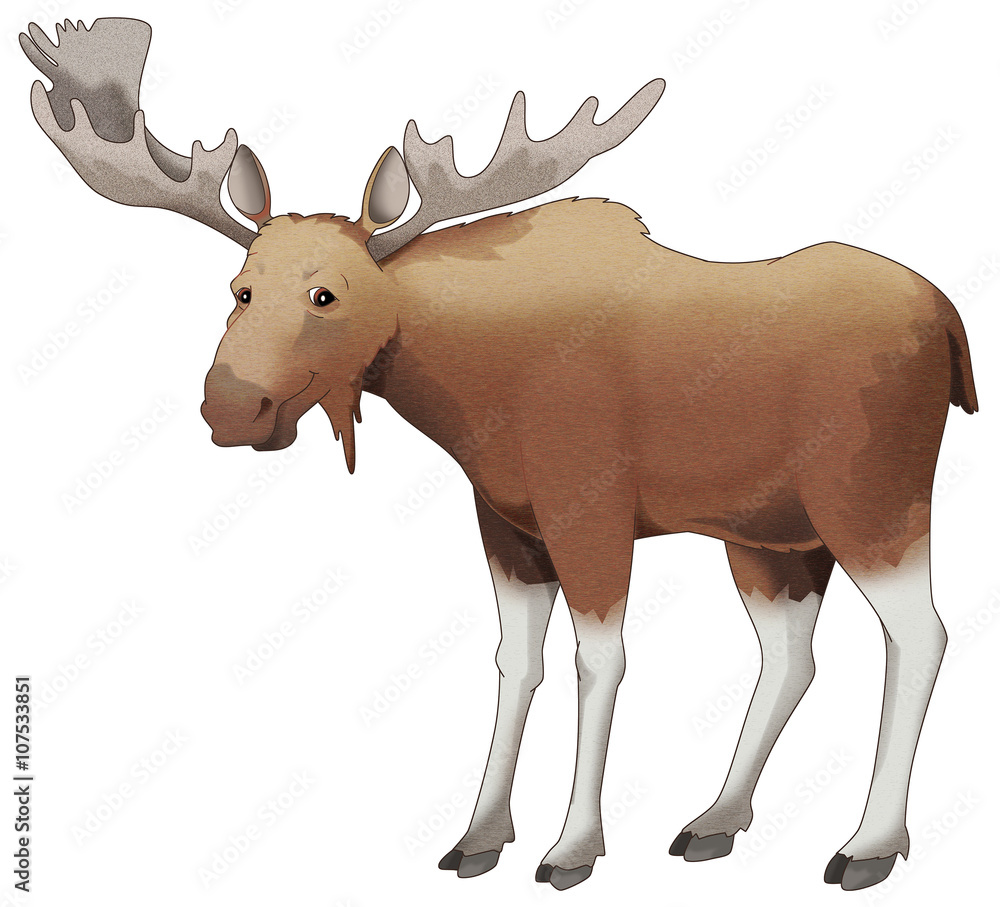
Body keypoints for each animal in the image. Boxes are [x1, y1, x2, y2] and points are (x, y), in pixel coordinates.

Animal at [23, 16, 978, 893]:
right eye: (241, 288)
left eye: (326, 293)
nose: (230, 404)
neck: (471, 394)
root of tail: (952, 321)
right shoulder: (507, 524)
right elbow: (515, 662)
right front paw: (479, 833)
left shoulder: (589, 512)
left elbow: (600, 661)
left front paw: (572, 845)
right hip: (770, 535)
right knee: (791, 655)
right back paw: (717, 817)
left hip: (873, 501)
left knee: (920, 633)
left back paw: (869, 842)